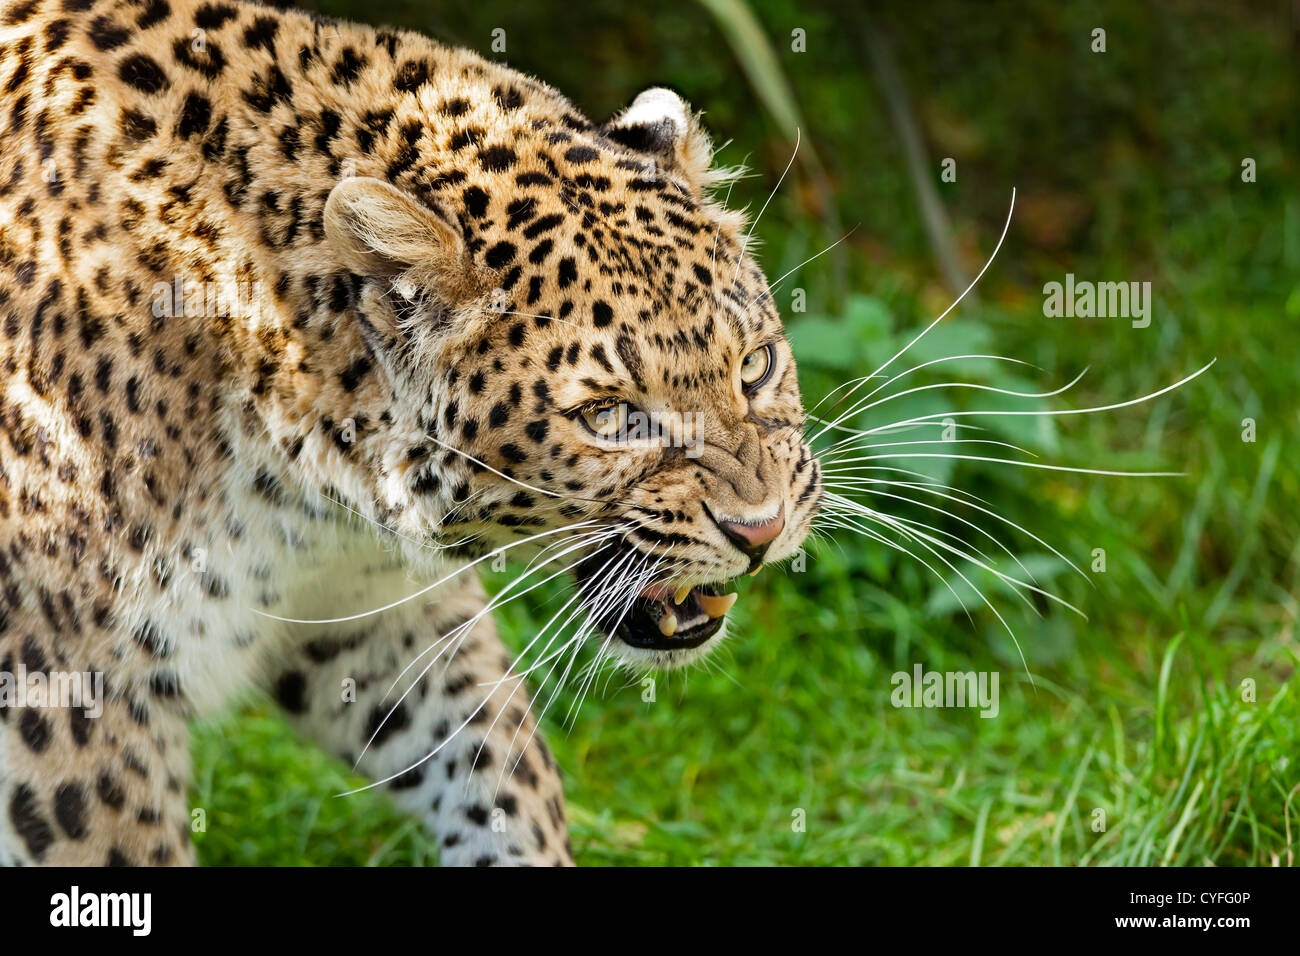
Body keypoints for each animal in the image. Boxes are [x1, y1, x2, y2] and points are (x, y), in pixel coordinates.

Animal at [0, 0, 822, 866]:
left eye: (756, 365)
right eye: (609, 416)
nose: (762, 532)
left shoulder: (374, 618)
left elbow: (499, 767)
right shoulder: (69, 689)